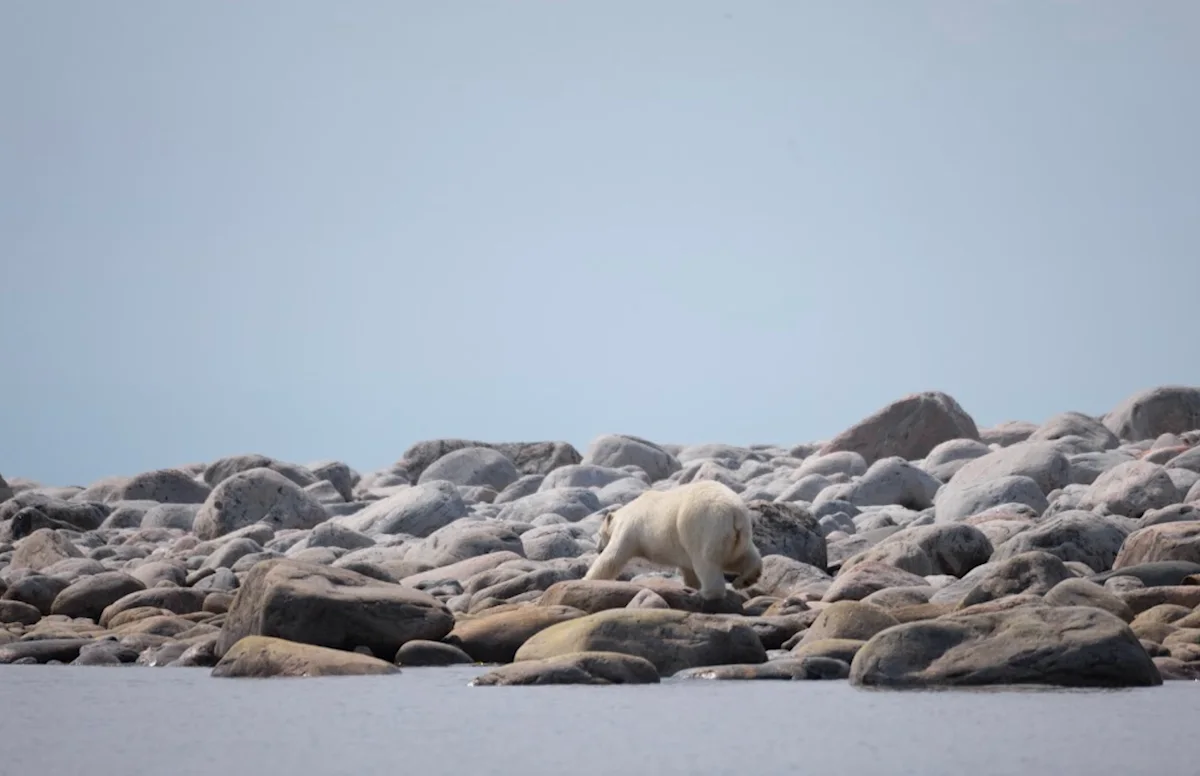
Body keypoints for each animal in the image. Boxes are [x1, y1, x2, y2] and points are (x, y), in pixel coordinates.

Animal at [583, 480, 763, 611]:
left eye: (599, 534)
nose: (597, 549)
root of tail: (734, 513)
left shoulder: (630, 528)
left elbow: (613, 557)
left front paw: (586, 579)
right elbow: (688, 569)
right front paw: (691, 584)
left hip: (703, 525)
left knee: (706, 562)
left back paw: (705, 594)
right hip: (737, 535)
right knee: (741, 556)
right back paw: (746, 579)